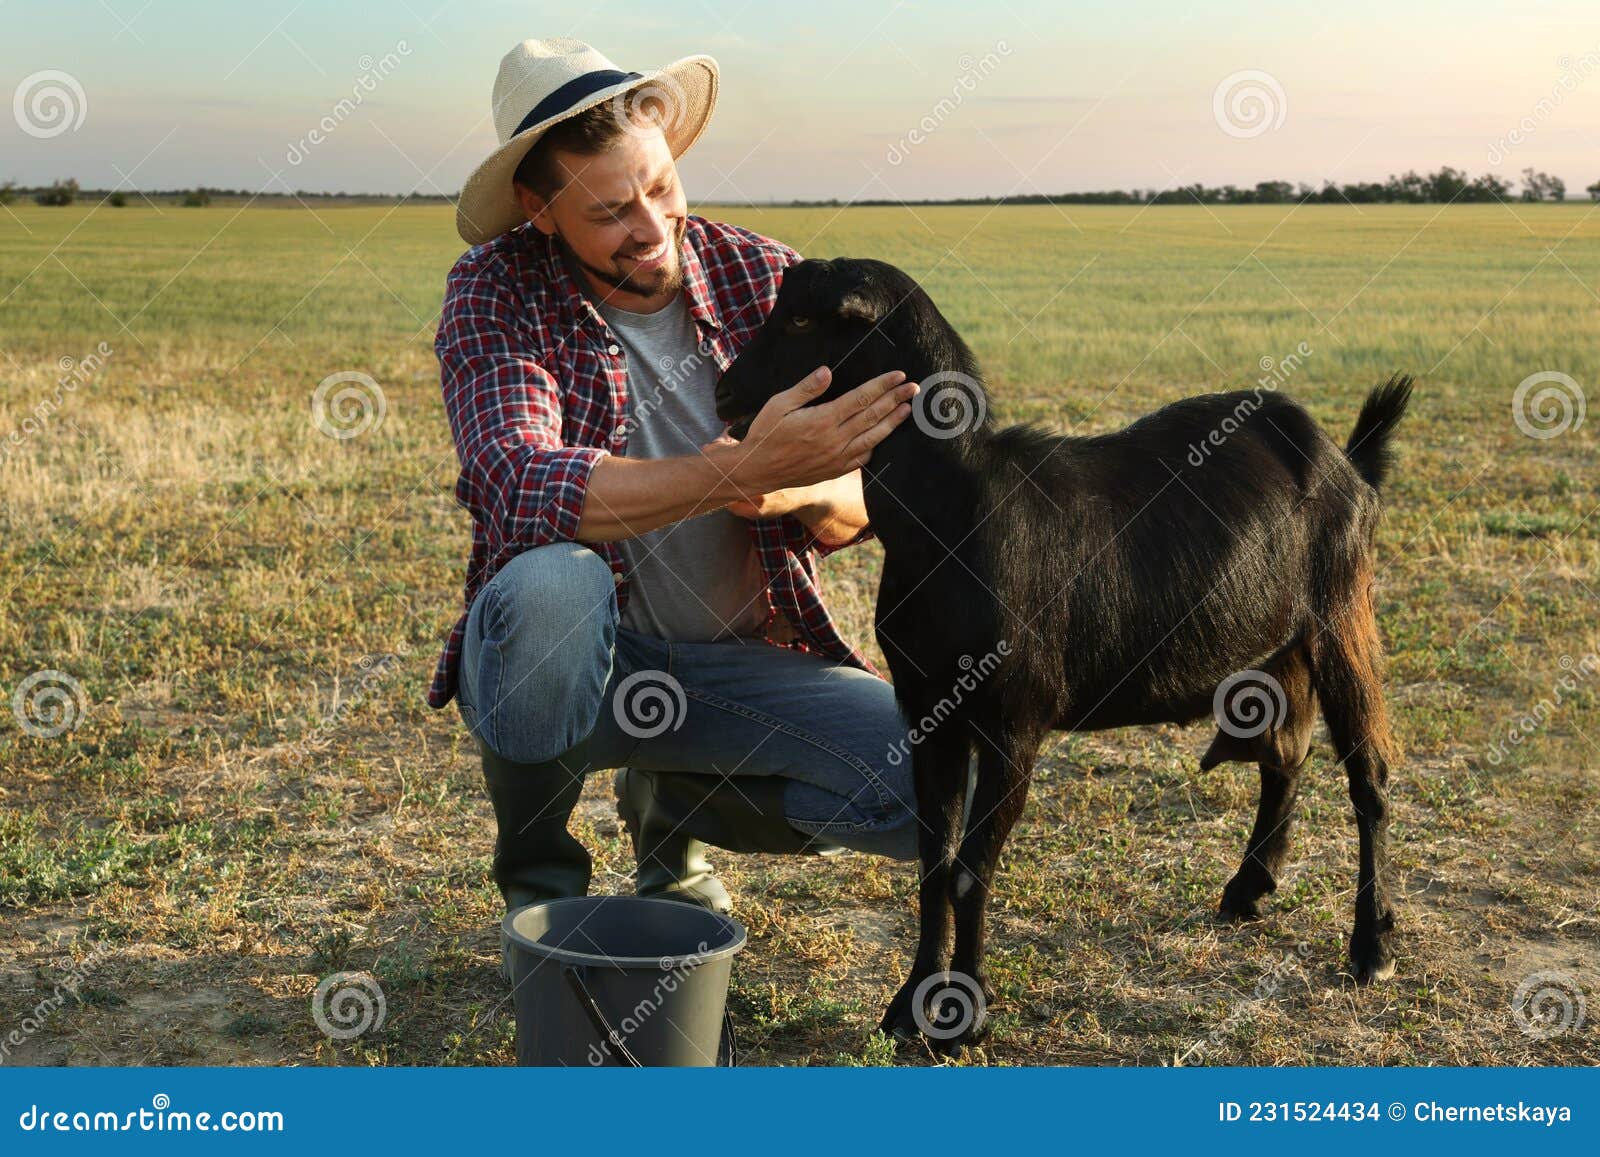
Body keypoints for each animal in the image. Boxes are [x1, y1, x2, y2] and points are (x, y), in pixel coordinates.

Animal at [715, 257, 1413, 1054]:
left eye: (803, 318)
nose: (725, 393)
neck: (954, 516)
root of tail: (1344, 459)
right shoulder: (929, 713)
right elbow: (934, 865)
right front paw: (905, 1008)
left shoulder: (1015, 723)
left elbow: (970, 872)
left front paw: (960, 1019)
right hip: (1274, 645)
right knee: (1284, 756)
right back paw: (1249, 889)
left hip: (1341, 617)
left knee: (1368, 777)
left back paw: (1371, 946)